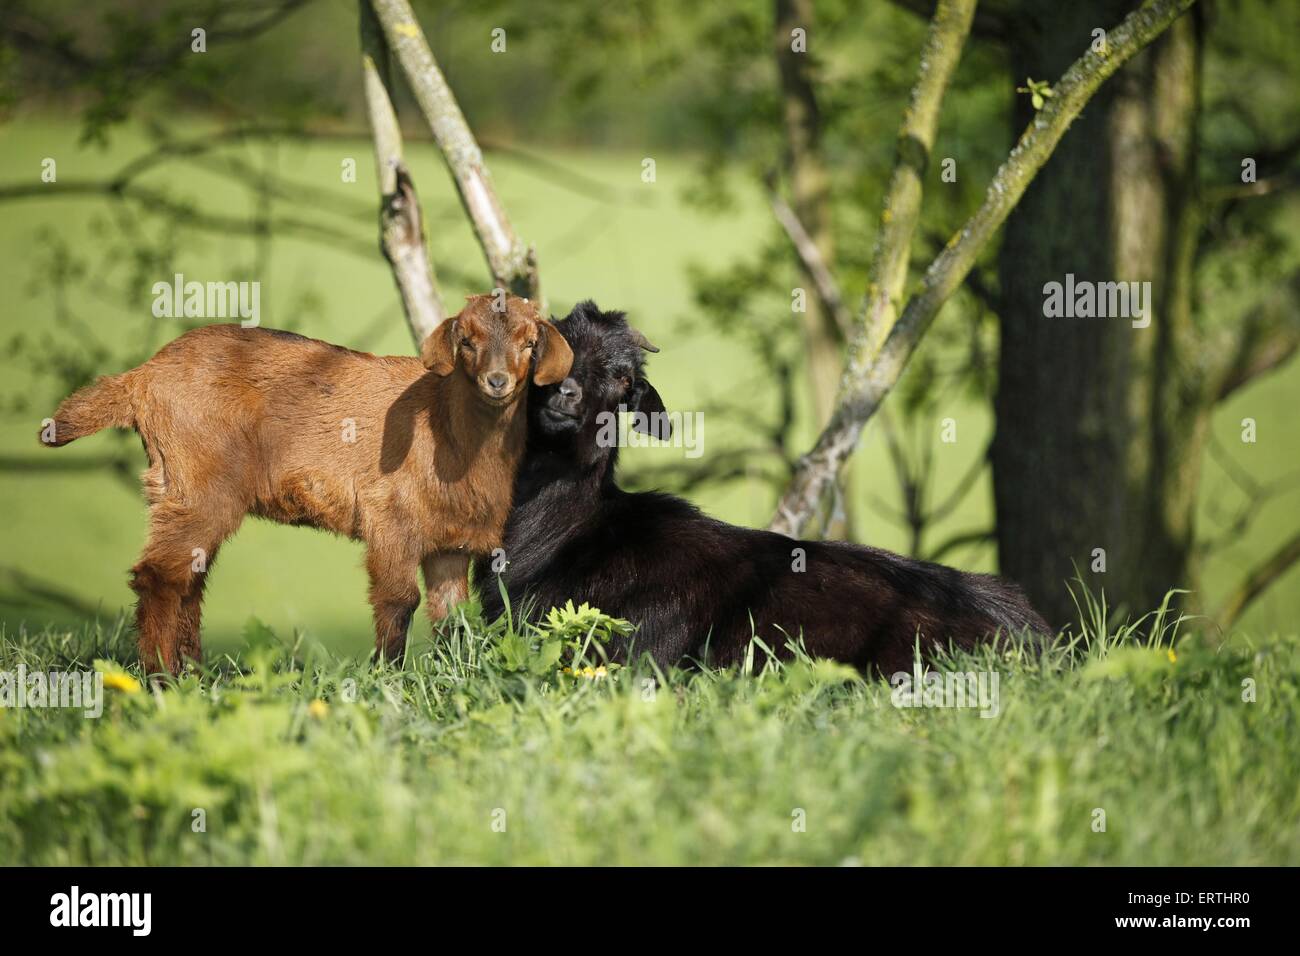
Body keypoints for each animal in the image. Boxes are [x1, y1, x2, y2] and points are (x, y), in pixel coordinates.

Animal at [42, 293, 572, 674]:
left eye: (529, 342)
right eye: (467, 340)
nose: (498, 381)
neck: (445, 429)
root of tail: (140, 379)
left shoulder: (448, 543)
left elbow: (452, 617)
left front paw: (449, 676)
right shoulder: (390, 518)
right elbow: (400, 600)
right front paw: (388, 678)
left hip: (178, 485)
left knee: (188, 577)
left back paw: (192, 671)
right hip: (197, 483)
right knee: (158, 576)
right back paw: (160, 678)